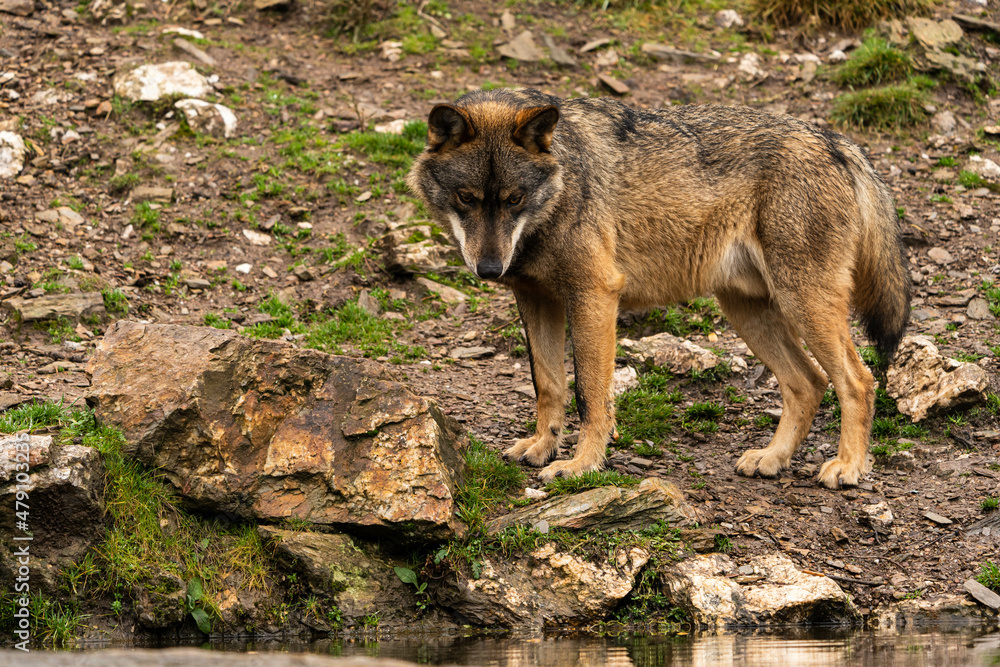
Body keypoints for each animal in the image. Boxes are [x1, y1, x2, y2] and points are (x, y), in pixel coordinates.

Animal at [406, 88, 909, 489]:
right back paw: (773, 458)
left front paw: (580, 466)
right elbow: (548, 384)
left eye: (515, 199)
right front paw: (542, 447)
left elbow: (590, 394)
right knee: (809, 382)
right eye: (466, 198)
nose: (490, 269)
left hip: (802, 302)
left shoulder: (595, 295)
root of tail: (837, 142)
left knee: (858, 380)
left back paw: (848, 467)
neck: (559, 192)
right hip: (748, 311)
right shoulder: (534, 298)